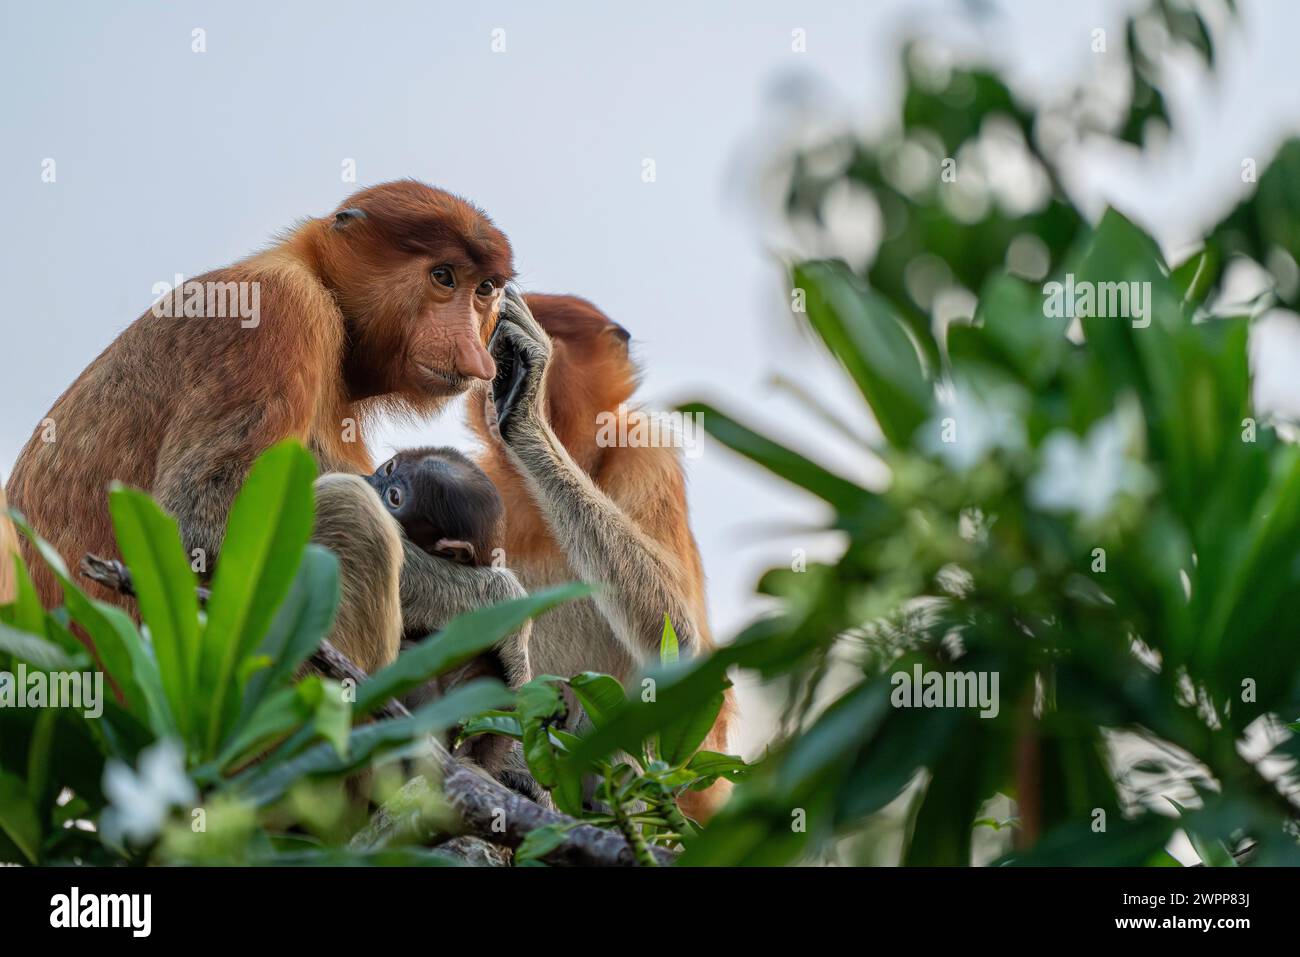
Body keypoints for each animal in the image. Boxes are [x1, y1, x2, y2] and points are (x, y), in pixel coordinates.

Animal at [5, 181, 528, 678]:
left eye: (484, 288)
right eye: (443, 276)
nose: (474, 353)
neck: (321, 282)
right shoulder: (277, 311)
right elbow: (200, 526)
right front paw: (495, 602)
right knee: (352, 511)